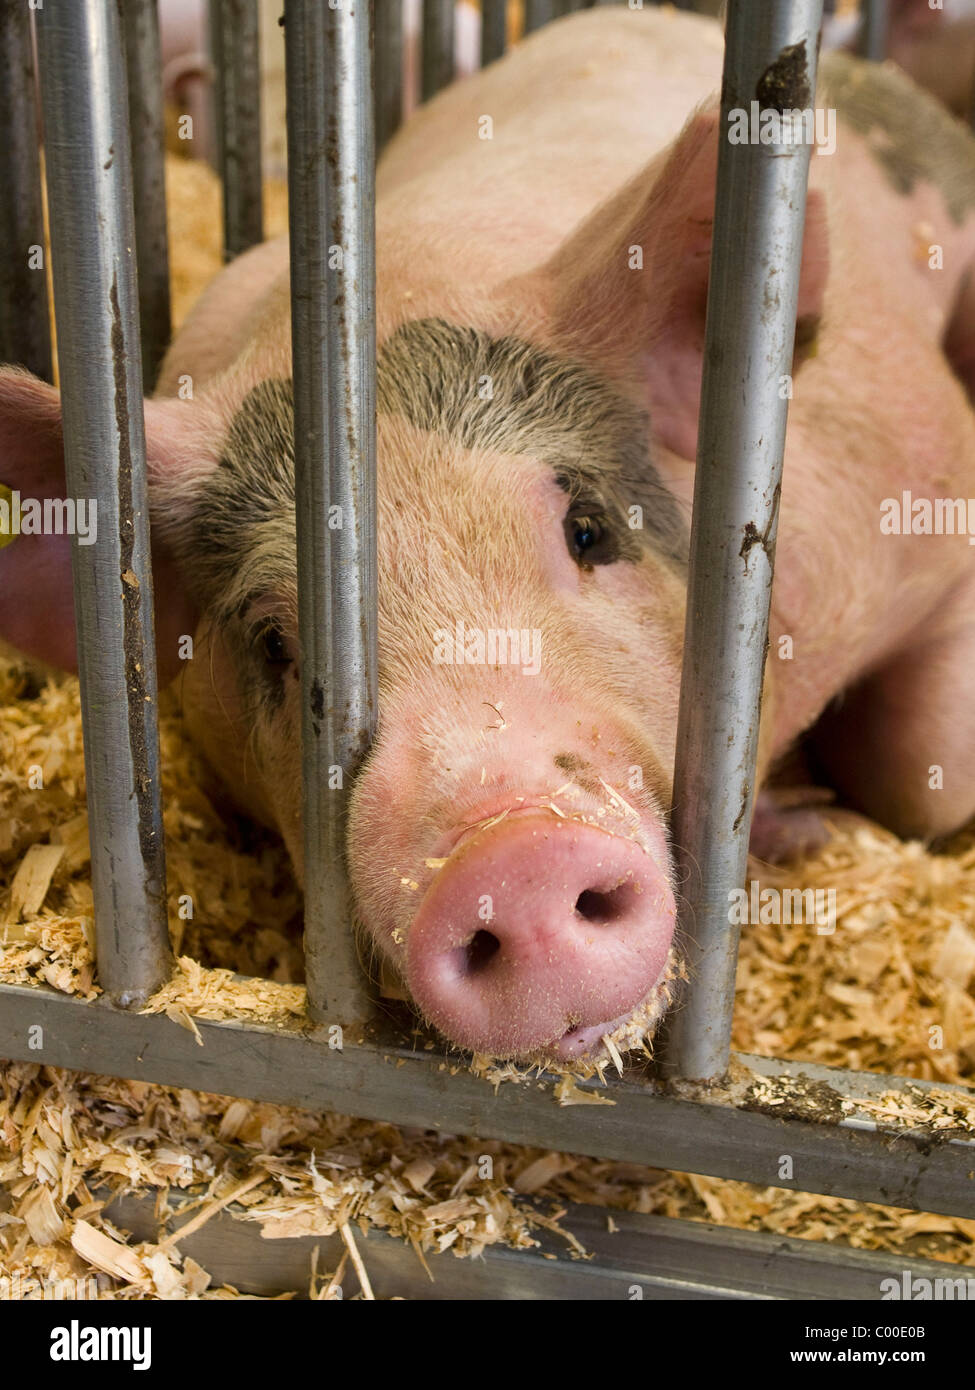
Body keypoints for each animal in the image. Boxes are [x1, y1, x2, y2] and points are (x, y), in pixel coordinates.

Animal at [3, 6, 975, 1063]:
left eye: (589, 530)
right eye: (272, 643)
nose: (515, 855)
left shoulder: (926, 490)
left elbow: (927, 775)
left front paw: (814, 823)